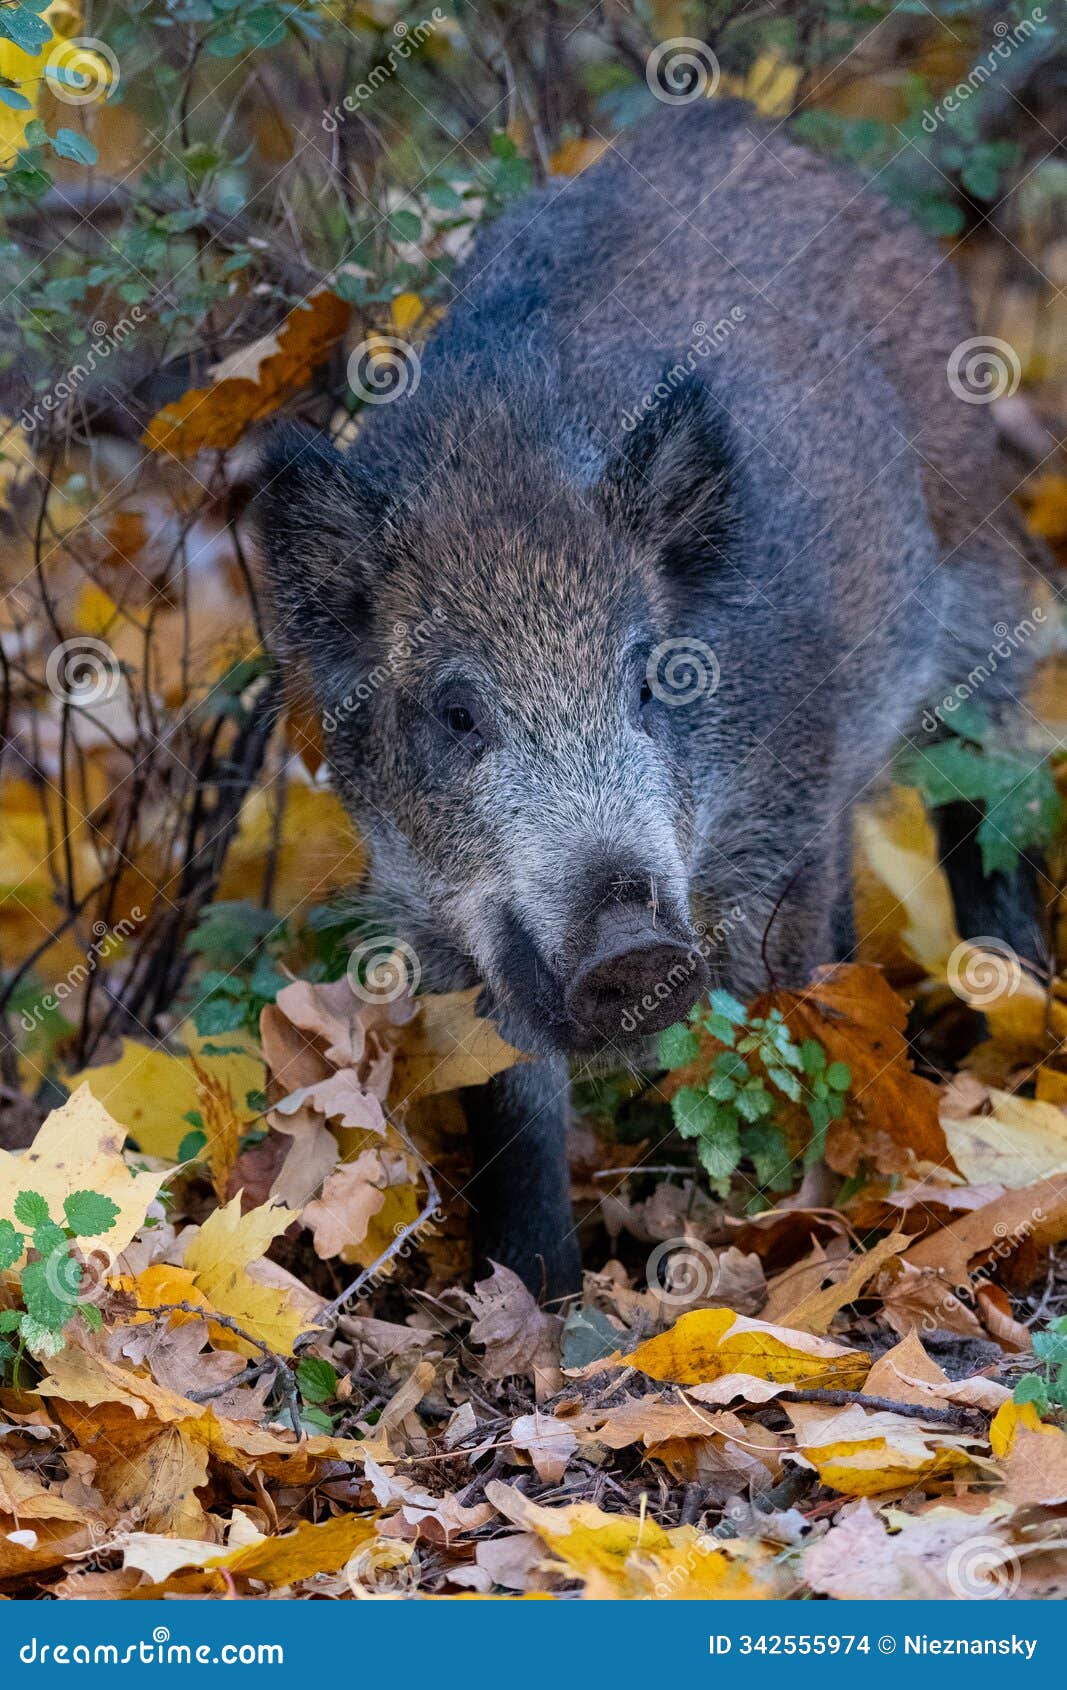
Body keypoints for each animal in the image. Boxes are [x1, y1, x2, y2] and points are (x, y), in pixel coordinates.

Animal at [255, 98, 1051, 1299]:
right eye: (456, 711)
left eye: (652, 678)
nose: (629, 939)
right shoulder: (437, 914)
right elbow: (513, 1104)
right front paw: (540, 1295)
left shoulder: (785, 825)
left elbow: (778, 1024)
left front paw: (770, 1239)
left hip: (980, 571)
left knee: (993, 779)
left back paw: (1017, 1005)